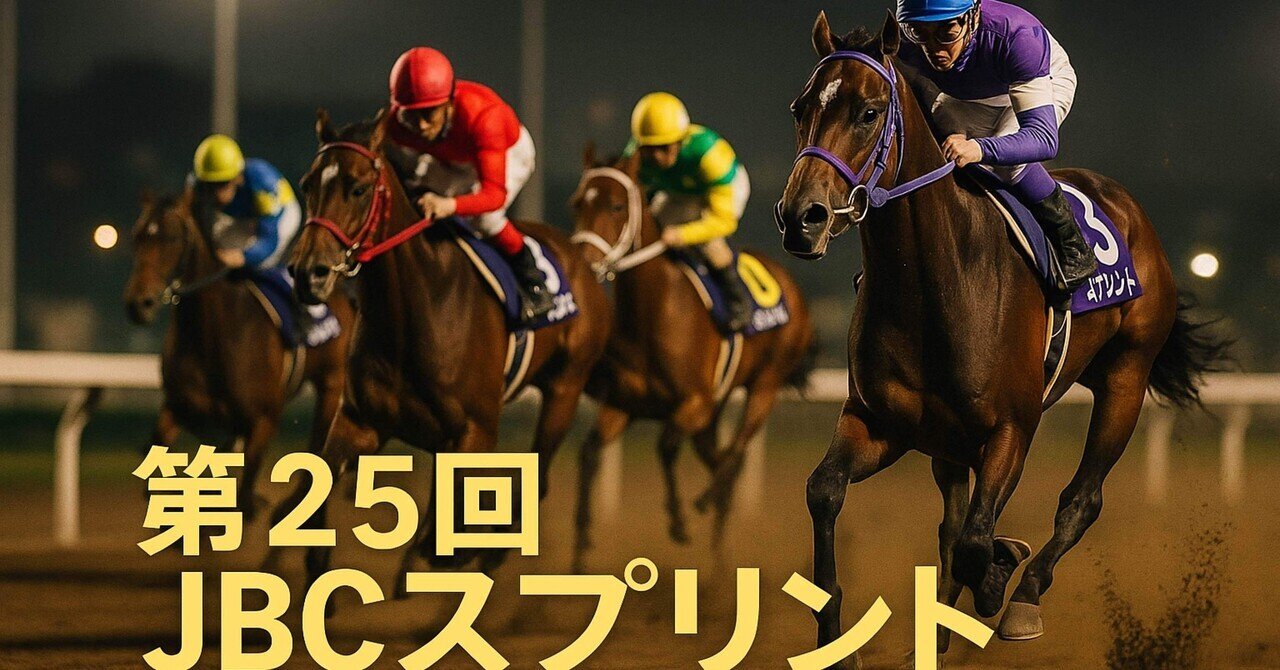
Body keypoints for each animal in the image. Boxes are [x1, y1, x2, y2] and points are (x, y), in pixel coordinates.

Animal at [123, 187, 355, 523]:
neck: (211, 340)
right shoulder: (179, 408)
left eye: (172, 237)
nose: (138, 304)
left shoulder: (263, 421)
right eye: (136, 236)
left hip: (332, 383)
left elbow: (244, 499)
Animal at [289, 110, 610, 590]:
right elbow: (322, 480)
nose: (308, 272)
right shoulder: (363, 421)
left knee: (539, 477)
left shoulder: (476, 432)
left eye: (358, 187)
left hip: (566, 387)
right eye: (309, 184)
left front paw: (447, 555)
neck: (415, 312)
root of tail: (582, 258)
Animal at [569, 148, 815, 566]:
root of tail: (789, 281)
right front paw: (582, 543)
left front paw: (679, 520)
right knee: (723, 463)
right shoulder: (623, 405)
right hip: (714, 412)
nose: (584, 265)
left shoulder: (695, 403)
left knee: (734, 456)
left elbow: (666, 445)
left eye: (616, 205)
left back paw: (706, 504)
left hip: (765, 385)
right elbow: (588, 453)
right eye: (577, 203)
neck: (654, 313)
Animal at [774, 13, 1232, 661]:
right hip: (948, 440)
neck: (935, 281)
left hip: (1126, 376)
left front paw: (998, 574)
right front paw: (836, 642)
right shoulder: (882, 422)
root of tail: (1128, 206)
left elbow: (976, 542)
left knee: (1080, 501)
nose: (800, 218)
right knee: (950, 523)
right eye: (800, 108)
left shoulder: (1012, 429)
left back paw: (1022, 597)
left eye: (867, 112)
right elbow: (826, 491)